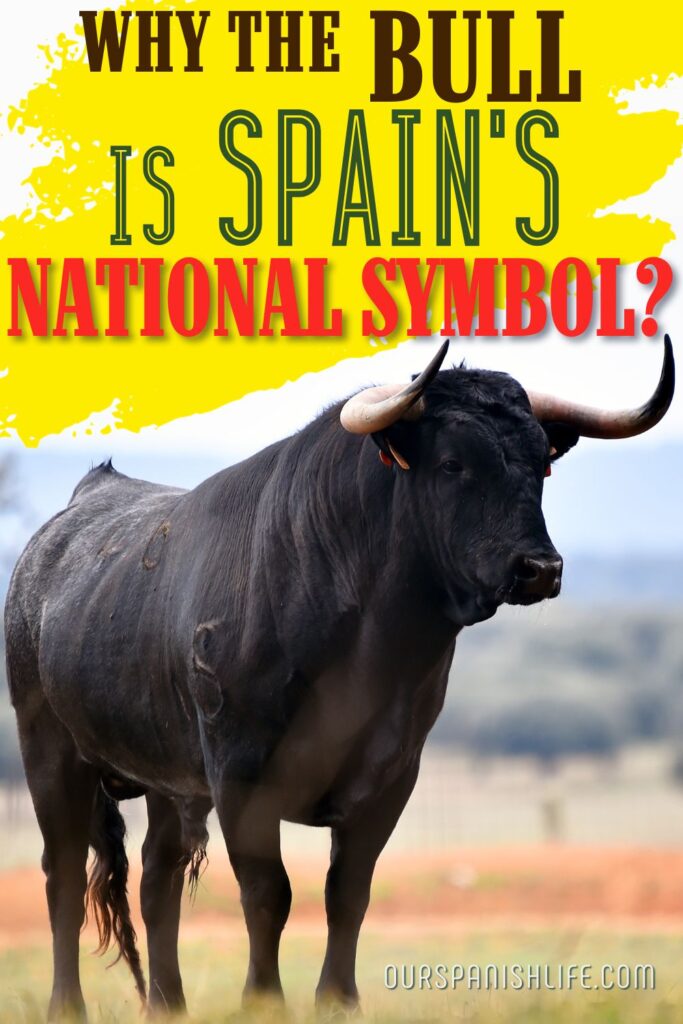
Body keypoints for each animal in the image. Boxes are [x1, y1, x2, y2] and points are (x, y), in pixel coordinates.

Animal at [5, 337, 674, 1020]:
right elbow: (268, 894)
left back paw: (168, 1005)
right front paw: (263, 1002)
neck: (362, 647)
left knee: (156, 876)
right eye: (453, 463)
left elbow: (348, 892)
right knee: (63, 875)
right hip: (50, 753)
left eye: (542, 466)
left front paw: (338, 1001)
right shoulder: (242, 776)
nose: (539, 568)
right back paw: (67, 1005)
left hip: (169, 778)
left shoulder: (391, 776)